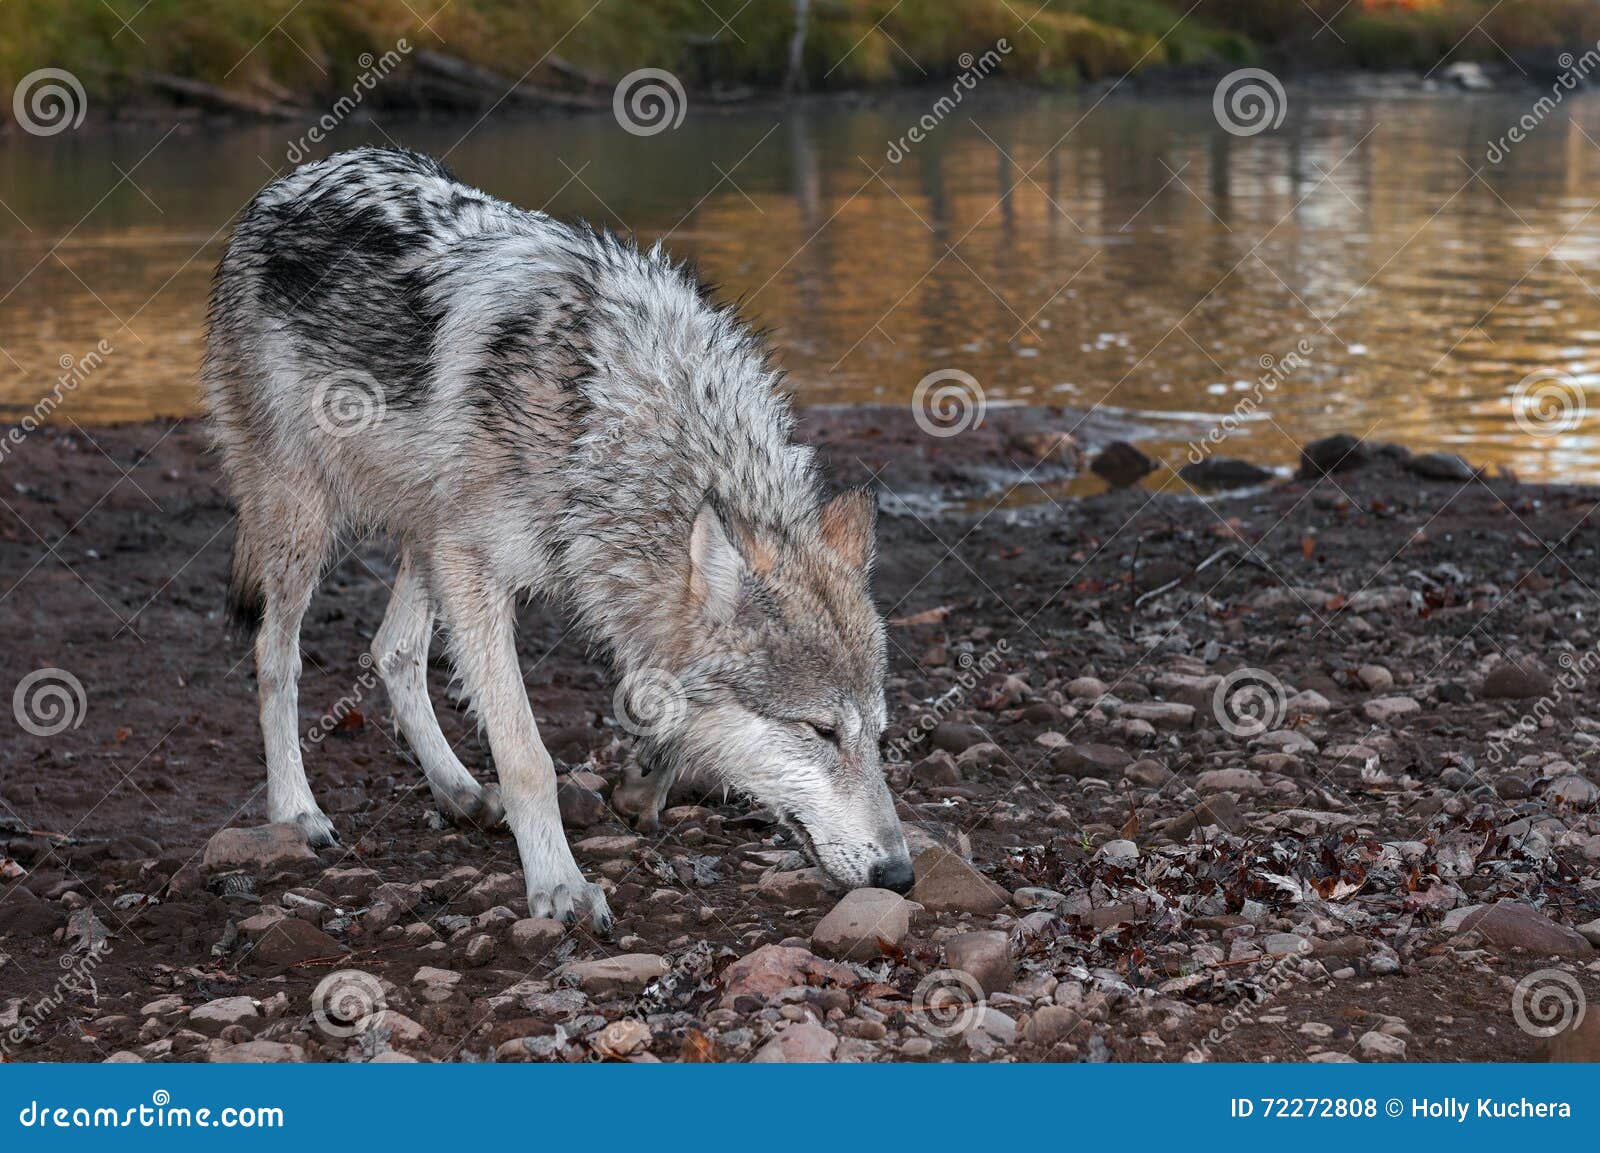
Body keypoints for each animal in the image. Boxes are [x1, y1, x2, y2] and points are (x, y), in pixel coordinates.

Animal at [203, 147, 913, 928]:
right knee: (275, 657)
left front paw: (642, 783)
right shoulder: (477, 570)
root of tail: (290, 180)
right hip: (305, 520)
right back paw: (296, 811)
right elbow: (526, 755)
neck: (609, 424)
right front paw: (558, 883)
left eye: (879, 736)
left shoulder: (486, 562)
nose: (900, 872)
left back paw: (456, 790)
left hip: (428, 534)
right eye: (820, 731)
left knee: (392, 651)